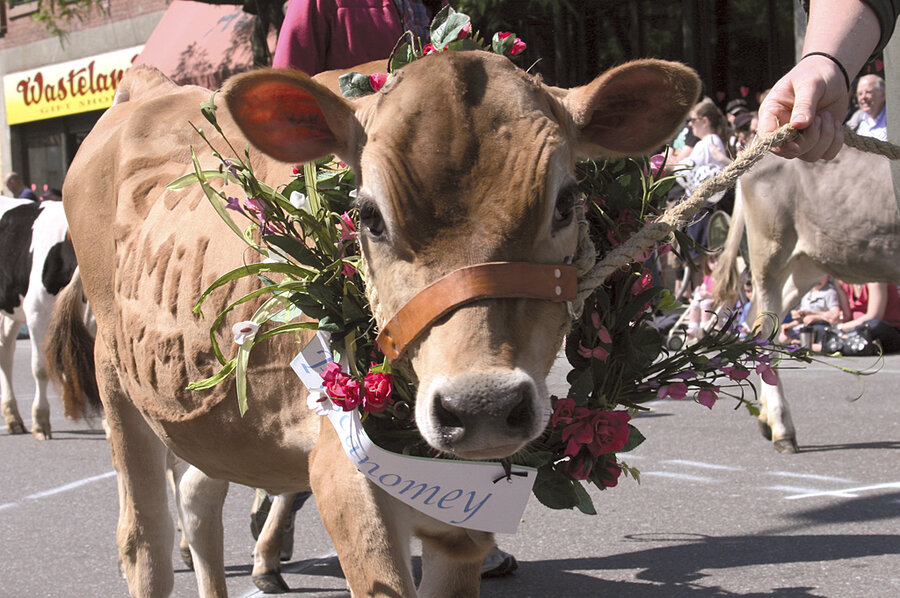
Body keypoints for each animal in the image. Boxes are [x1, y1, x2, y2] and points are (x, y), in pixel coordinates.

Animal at [57, 52, 698, 596]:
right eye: (368, 216)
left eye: (566, 203)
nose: (483, 406)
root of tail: (148, 88)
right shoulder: (344, 471)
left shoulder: (461, 516)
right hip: (116, 380)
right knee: (144, 541)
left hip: (210, 418)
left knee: (197, 498)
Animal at [713, 146, 900, 453]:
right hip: (771, 251)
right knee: (766, 330)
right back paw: (781, 429)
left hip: (807, 261)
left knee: (761, 323)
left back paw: (767, 419)